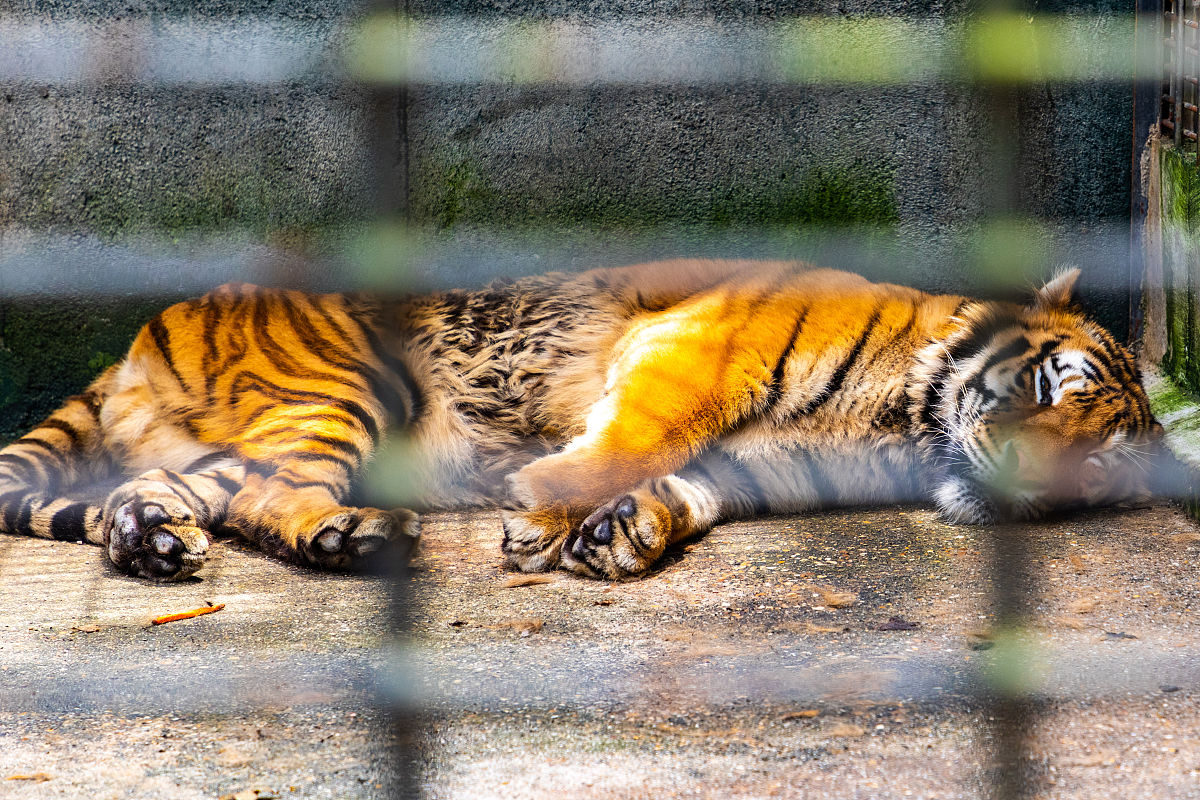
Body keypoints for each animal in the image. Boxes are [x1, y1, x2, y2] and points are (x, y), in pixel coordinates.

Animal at [0, 259, 1160, 581]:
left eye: (1096, 466)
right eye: (1050, 387)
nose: (1027, 476)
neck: (903, 429)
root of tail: (150, 323)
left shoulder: (766, 467)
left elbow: (686, 487)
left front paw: (625, 535)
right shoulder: (703, 341)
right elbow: (637, 439)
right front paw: (542, 511)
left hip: (225, 443)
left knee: (167, 495)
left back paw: (157, 541)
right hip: (343, 390)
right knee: (262, 490)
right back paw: (356, 537)